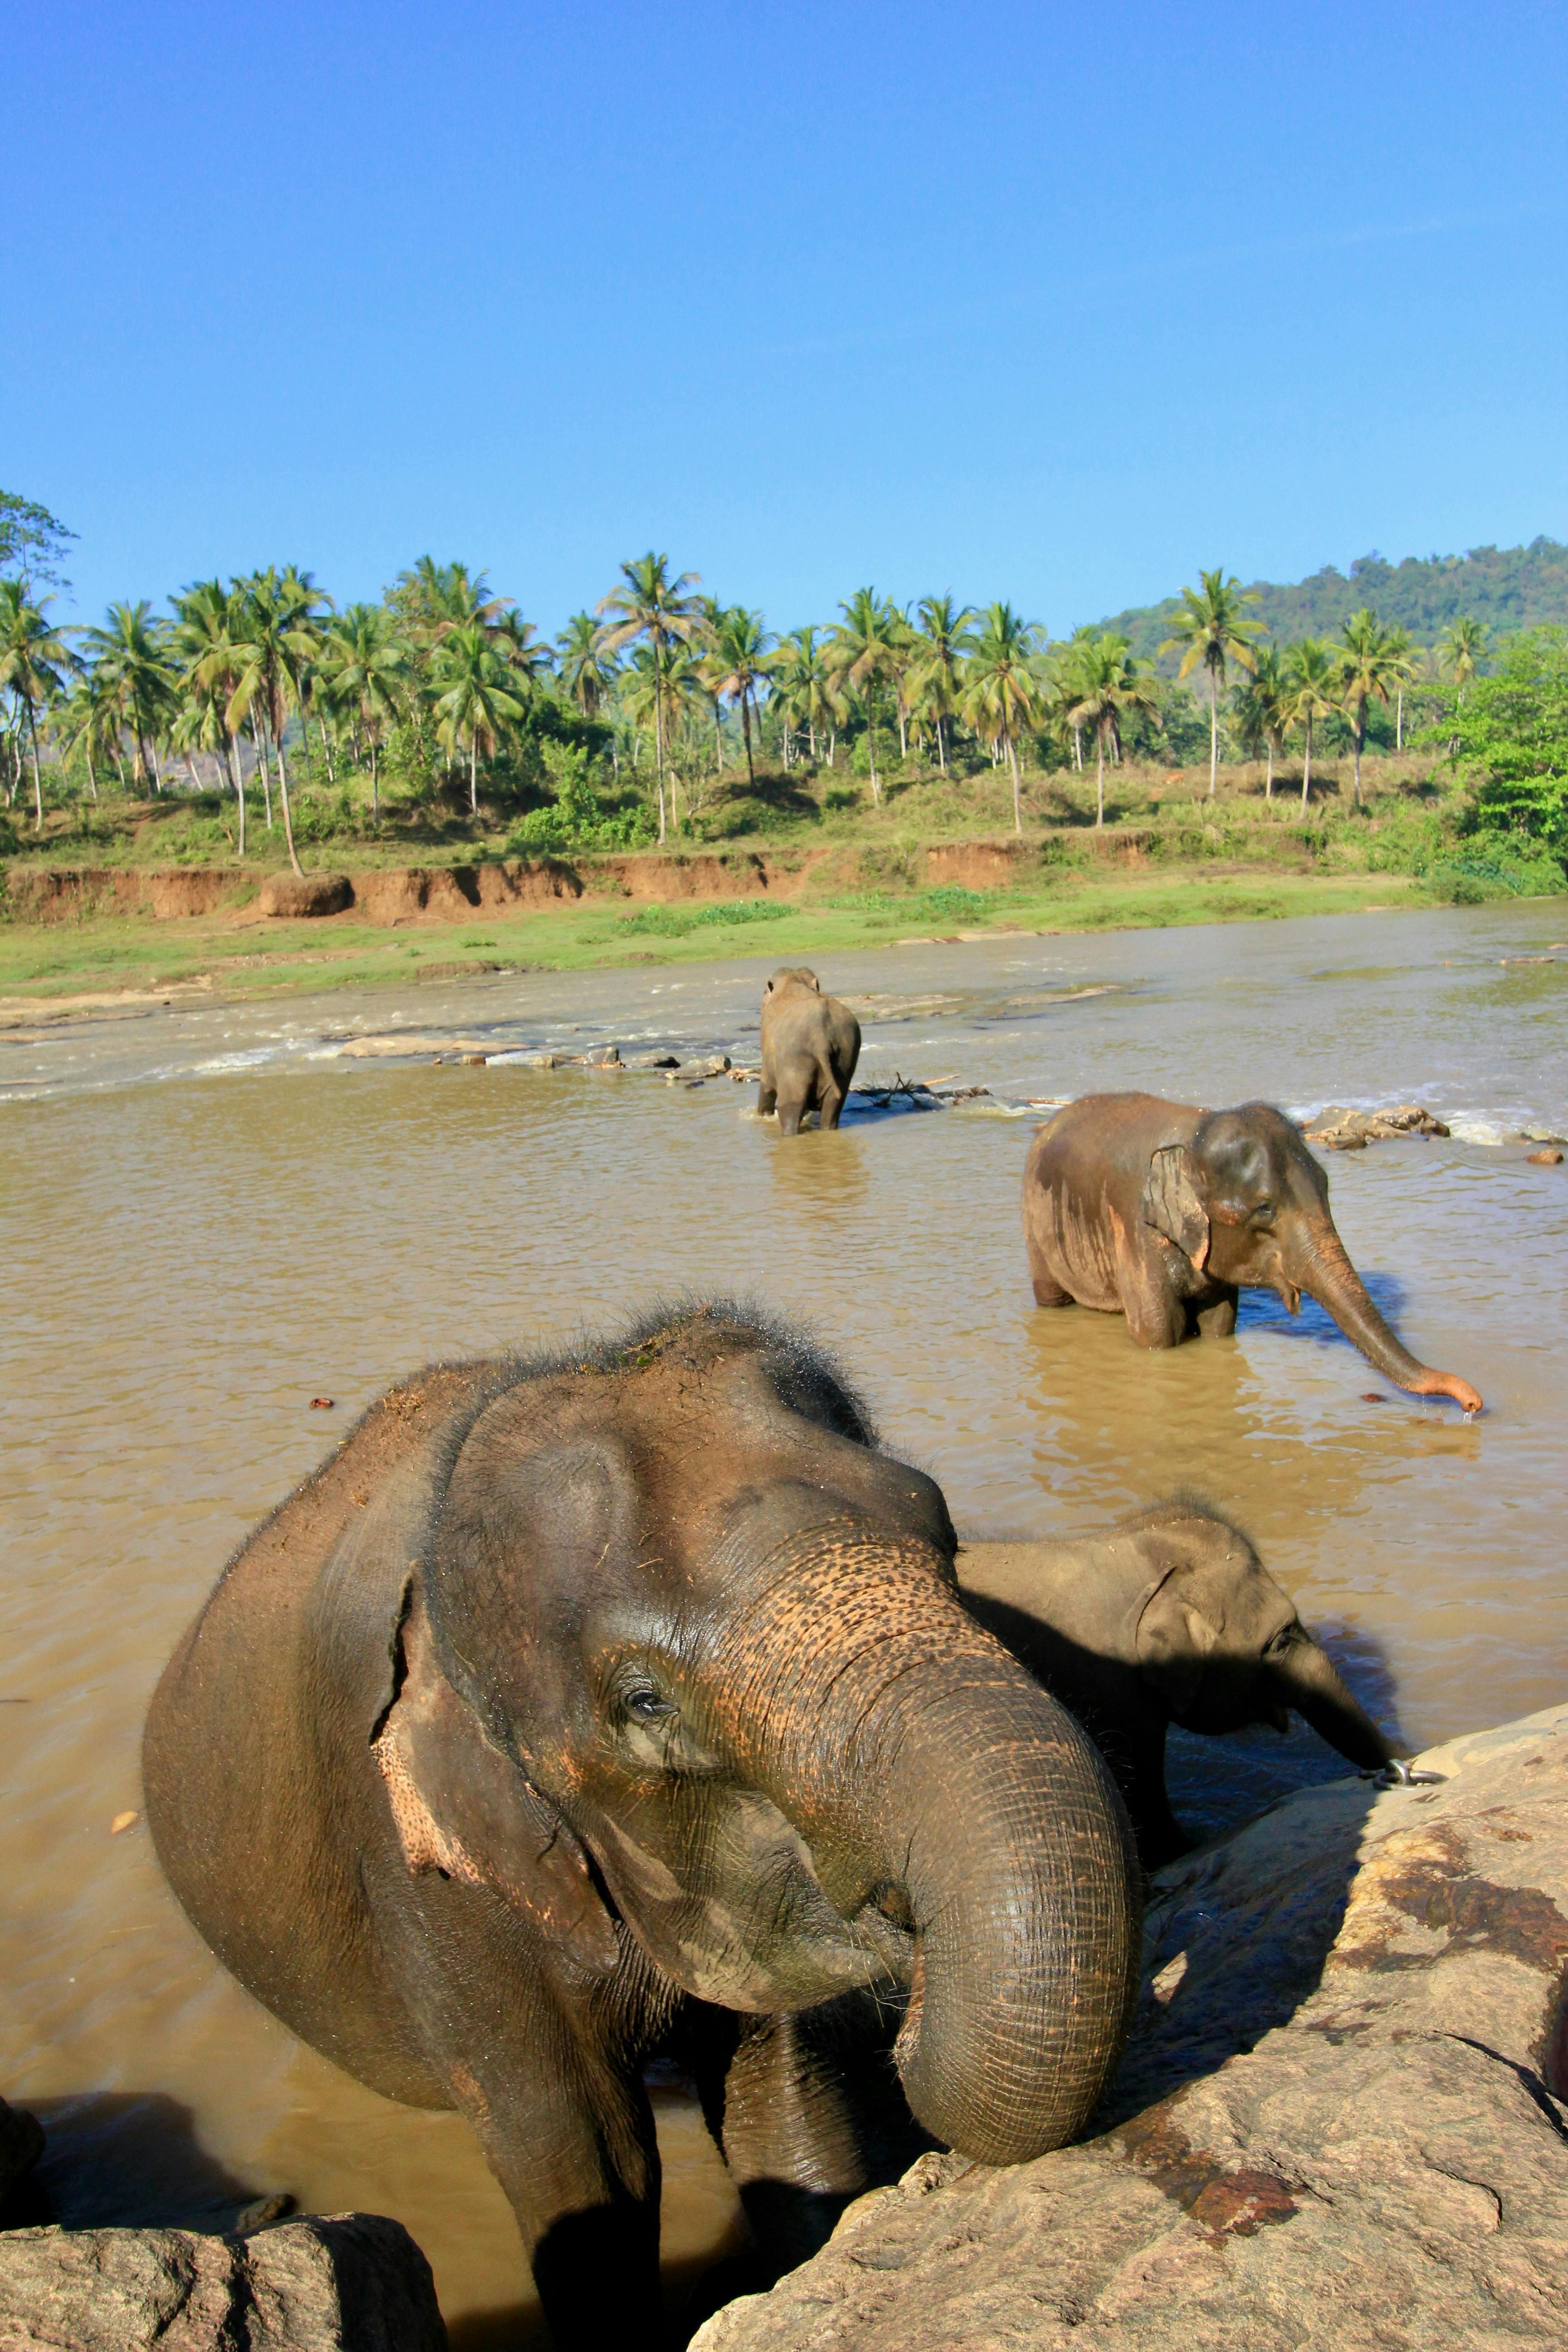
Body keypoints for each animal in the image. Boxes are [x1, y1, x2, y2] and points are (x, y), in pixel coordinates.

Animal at [143, 1305, 1140, 2348]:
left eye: (944, 1540)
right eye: (645, 1701)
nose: (905, 2034)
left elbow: (777, 2097)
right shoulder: (431, 1883)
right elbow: (586, 2168)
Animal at [758, 967, 861, 1132]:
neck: (793, 980)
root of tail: (821, 1035)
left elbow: (767, 1087)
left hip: (793, 1060)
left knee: (790, 1108)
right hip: (847, 1052)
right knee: (833, 1107)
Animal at [958, 1500, 1398, 1870]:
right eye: (1281, 1641)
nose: (1396, 1773)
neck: (1124, 1548)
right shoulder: (1115, 1696)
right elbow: (1147, 1808)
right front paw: (1191, 1846)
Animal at [1022, 1092, 1483, 1412]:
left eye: (1327, 1185)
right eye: (1265, 1208)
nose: (1474, 1403)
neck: (1195, 1134)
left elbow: (1220, 1324)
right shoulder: (1136, 1232)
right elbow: (1158, 1332)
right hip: (1034, 1225)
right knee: (1052, 1296)